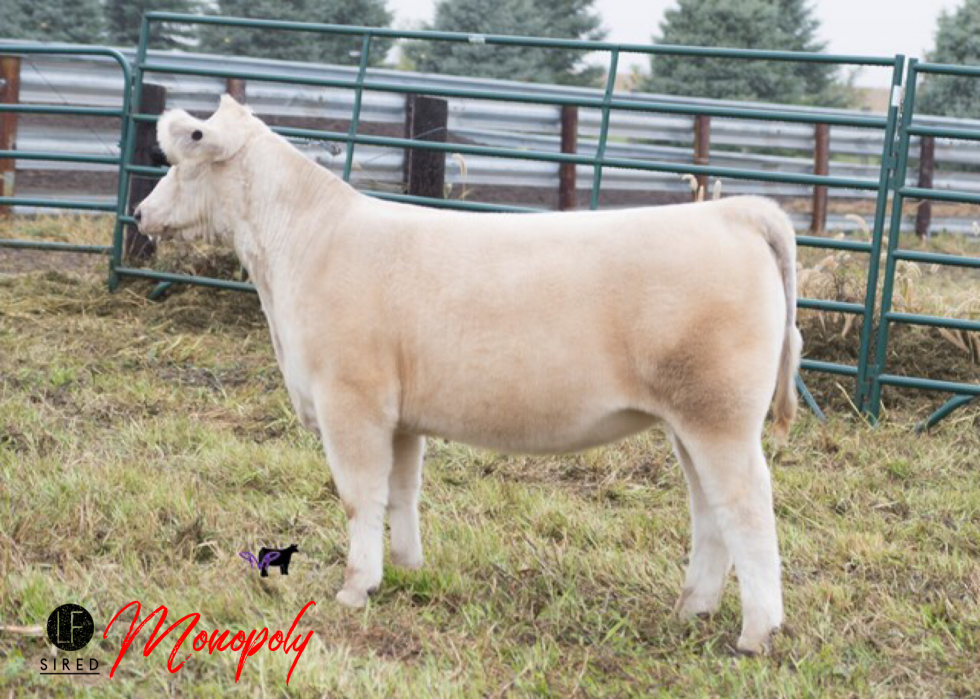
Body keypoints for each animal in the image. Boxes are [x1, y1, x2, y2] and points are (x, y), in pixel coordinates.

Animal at [135, 95, 803, 654]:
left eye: (181, 163)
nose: (140, 211)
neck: (305, 248)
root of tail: (735, 212)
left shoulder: (350, 400)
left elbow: (358, 495)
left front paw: (354, 588)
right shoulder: (401, 416)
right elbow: (401, 491)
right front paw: (406, 571)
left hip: (719, 417)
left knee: (746, 506)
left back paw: (756, 633)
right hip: (688, 422)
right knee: (708, 508)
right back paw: (692, 608)